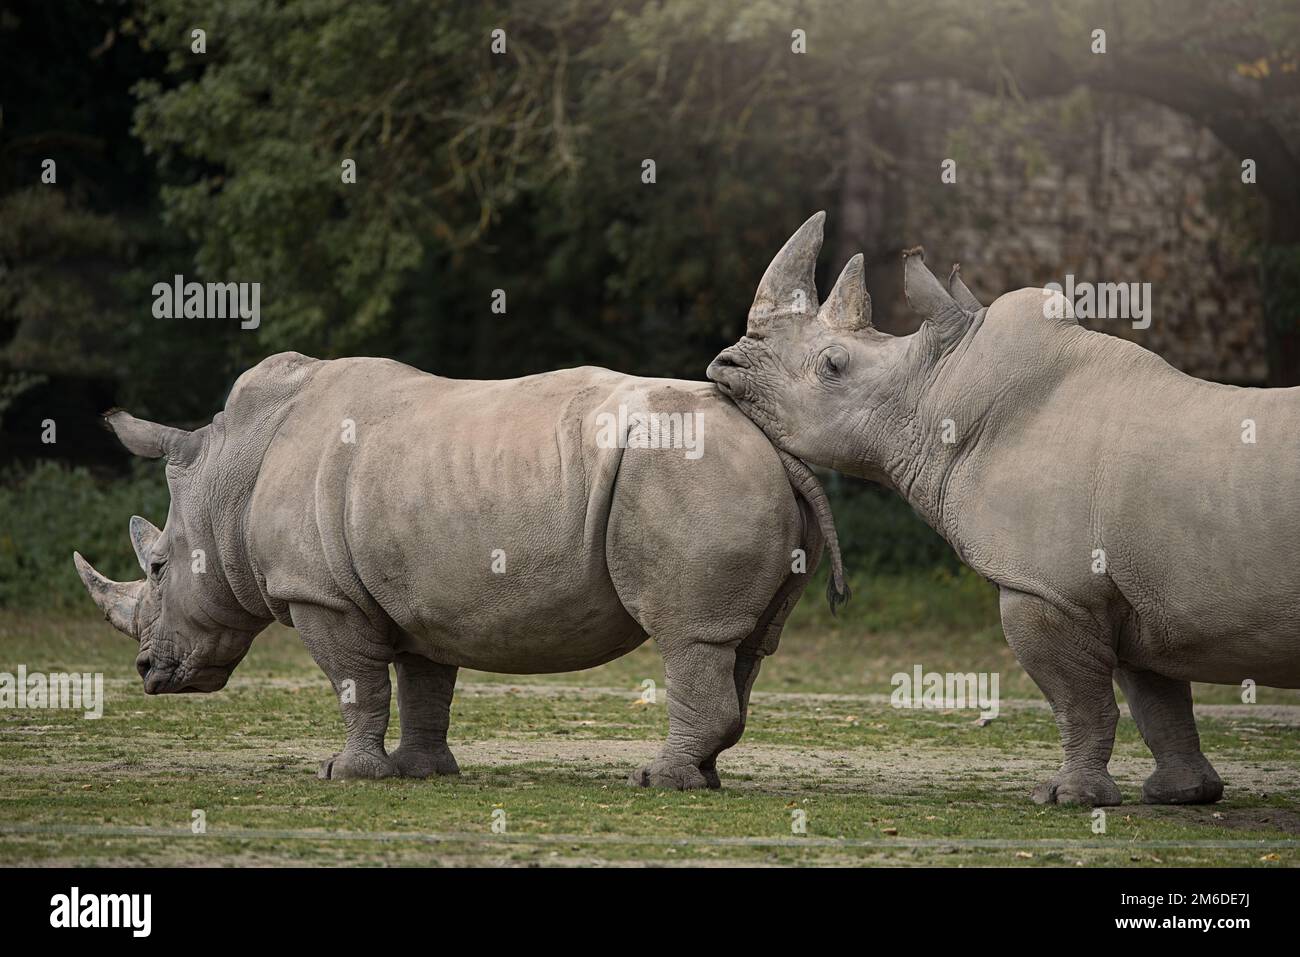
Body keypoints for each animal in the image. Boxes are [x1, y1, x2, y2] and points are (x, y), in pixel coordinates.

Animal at [74, 352, 847, 788]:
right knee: (743, 645)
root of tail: (775, 446)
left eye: (158, 565)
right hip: (732, 477)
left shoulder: (320, 595)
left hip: (690, 471)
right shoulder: (418, 595)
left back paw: (659, 781)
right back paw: (705, 777)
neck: (226, 477)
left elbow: (354, 683)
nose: (147, 672)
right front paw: (423, 773)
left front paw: (345, 775)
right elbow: (423, 684)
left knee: (689, 636)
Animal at [708, 212, 1300, 806]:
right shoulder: (1136, 588)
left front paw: (1069, 798)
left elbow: (1081, 701)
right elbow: (1158, 699)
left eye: (832, 366)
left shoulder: (1050, 588)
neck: (935, 390)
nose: (724, 365)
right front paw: (1182, 794)